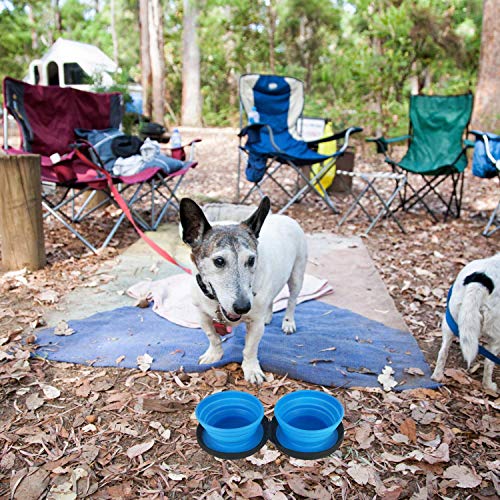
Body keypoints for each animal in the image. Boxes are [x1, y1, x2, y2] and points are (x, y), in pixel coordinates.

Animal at [178, 195, 306, 382]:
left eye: (251, 260)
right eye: (219, 261)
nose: (243, 307)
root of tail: (285, 217)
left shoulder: (255, 324)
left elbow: (250, 348)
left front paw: (251, 369)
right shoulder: (202, 315)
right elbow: (212, 336)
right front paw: (214, 354)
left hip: (297, 275)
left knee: (292, 300)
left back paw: (288, 322)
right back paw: (268, 316)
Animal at [430, 254, 500, 390]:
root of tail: (481, 282)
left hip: (450, 320)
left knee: (443, 352)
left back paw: (437, 376)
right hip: (496, 334)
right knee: (489, 363)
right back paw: (489, 386)